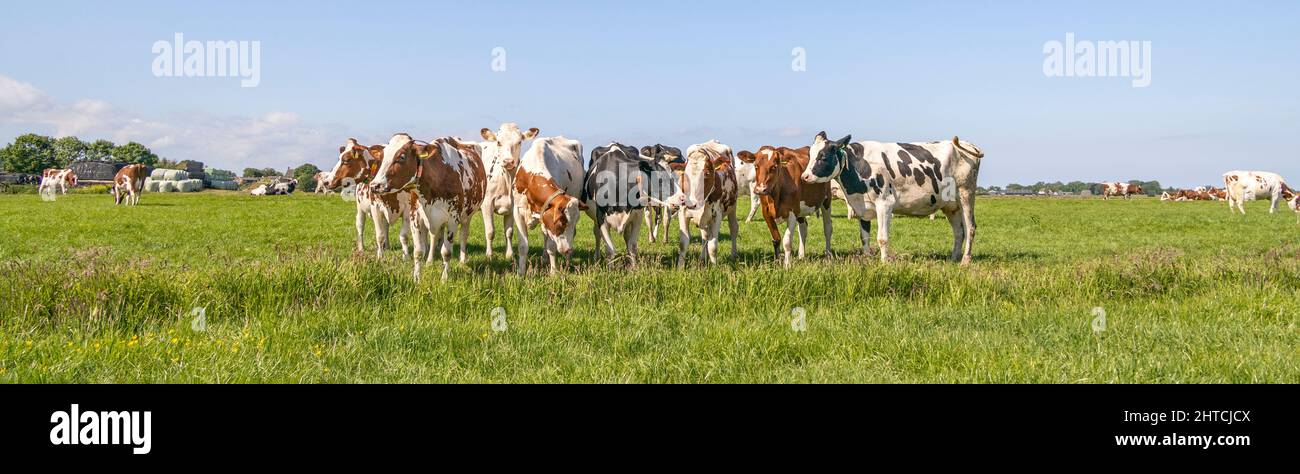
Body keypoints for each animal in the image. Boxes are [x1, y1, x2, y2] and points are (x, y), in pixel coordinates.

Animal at [370, 134, 486, 281]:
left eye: (401, 157)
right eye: (382, 156)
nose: (374, 185)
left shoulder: (453, 219)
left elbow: (446, 252)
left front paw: (444, 278)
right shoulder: (415, 216)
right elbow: (418, 251)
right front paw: (416, 279)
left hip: (467, 215)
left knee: (463, 235)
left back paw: (462, 260)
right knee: (434, 236)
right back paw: (430, 261)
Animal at [472, 123, 538, 259]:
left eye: (519, 142)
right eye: (498, 142)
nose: (508, 161)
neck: (506, 180)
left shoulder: (512, 207)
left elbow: (509, 232)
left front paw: (509, 254)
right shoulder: (487, 204)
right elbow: (490, 232)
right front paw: (489, 255)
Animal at [512, 136, 586, 275]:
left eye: (574, 221)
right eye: (562, 221)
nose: (568, 249)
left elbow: (552, 247)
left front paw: (553, 272)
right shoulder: (518, 211)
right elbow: (523, 246)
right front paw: (521, 273)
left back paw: (566, 262)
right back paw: (545, 258)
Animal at [801, 133, 985, 265]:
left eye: (823, 156)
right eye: (810, 155)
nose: (804, 176)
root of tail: (968, 144)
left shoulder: (884, 204)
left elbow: (882, 238)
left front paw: (884, 262)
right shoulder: (862, 206)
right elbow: (864, 236)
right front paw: (867, 259)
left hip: (966, 195)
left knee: (970, 228)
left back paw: (965, 261)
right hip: (951, 206)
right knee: (959, 231)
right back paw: (953, 258)